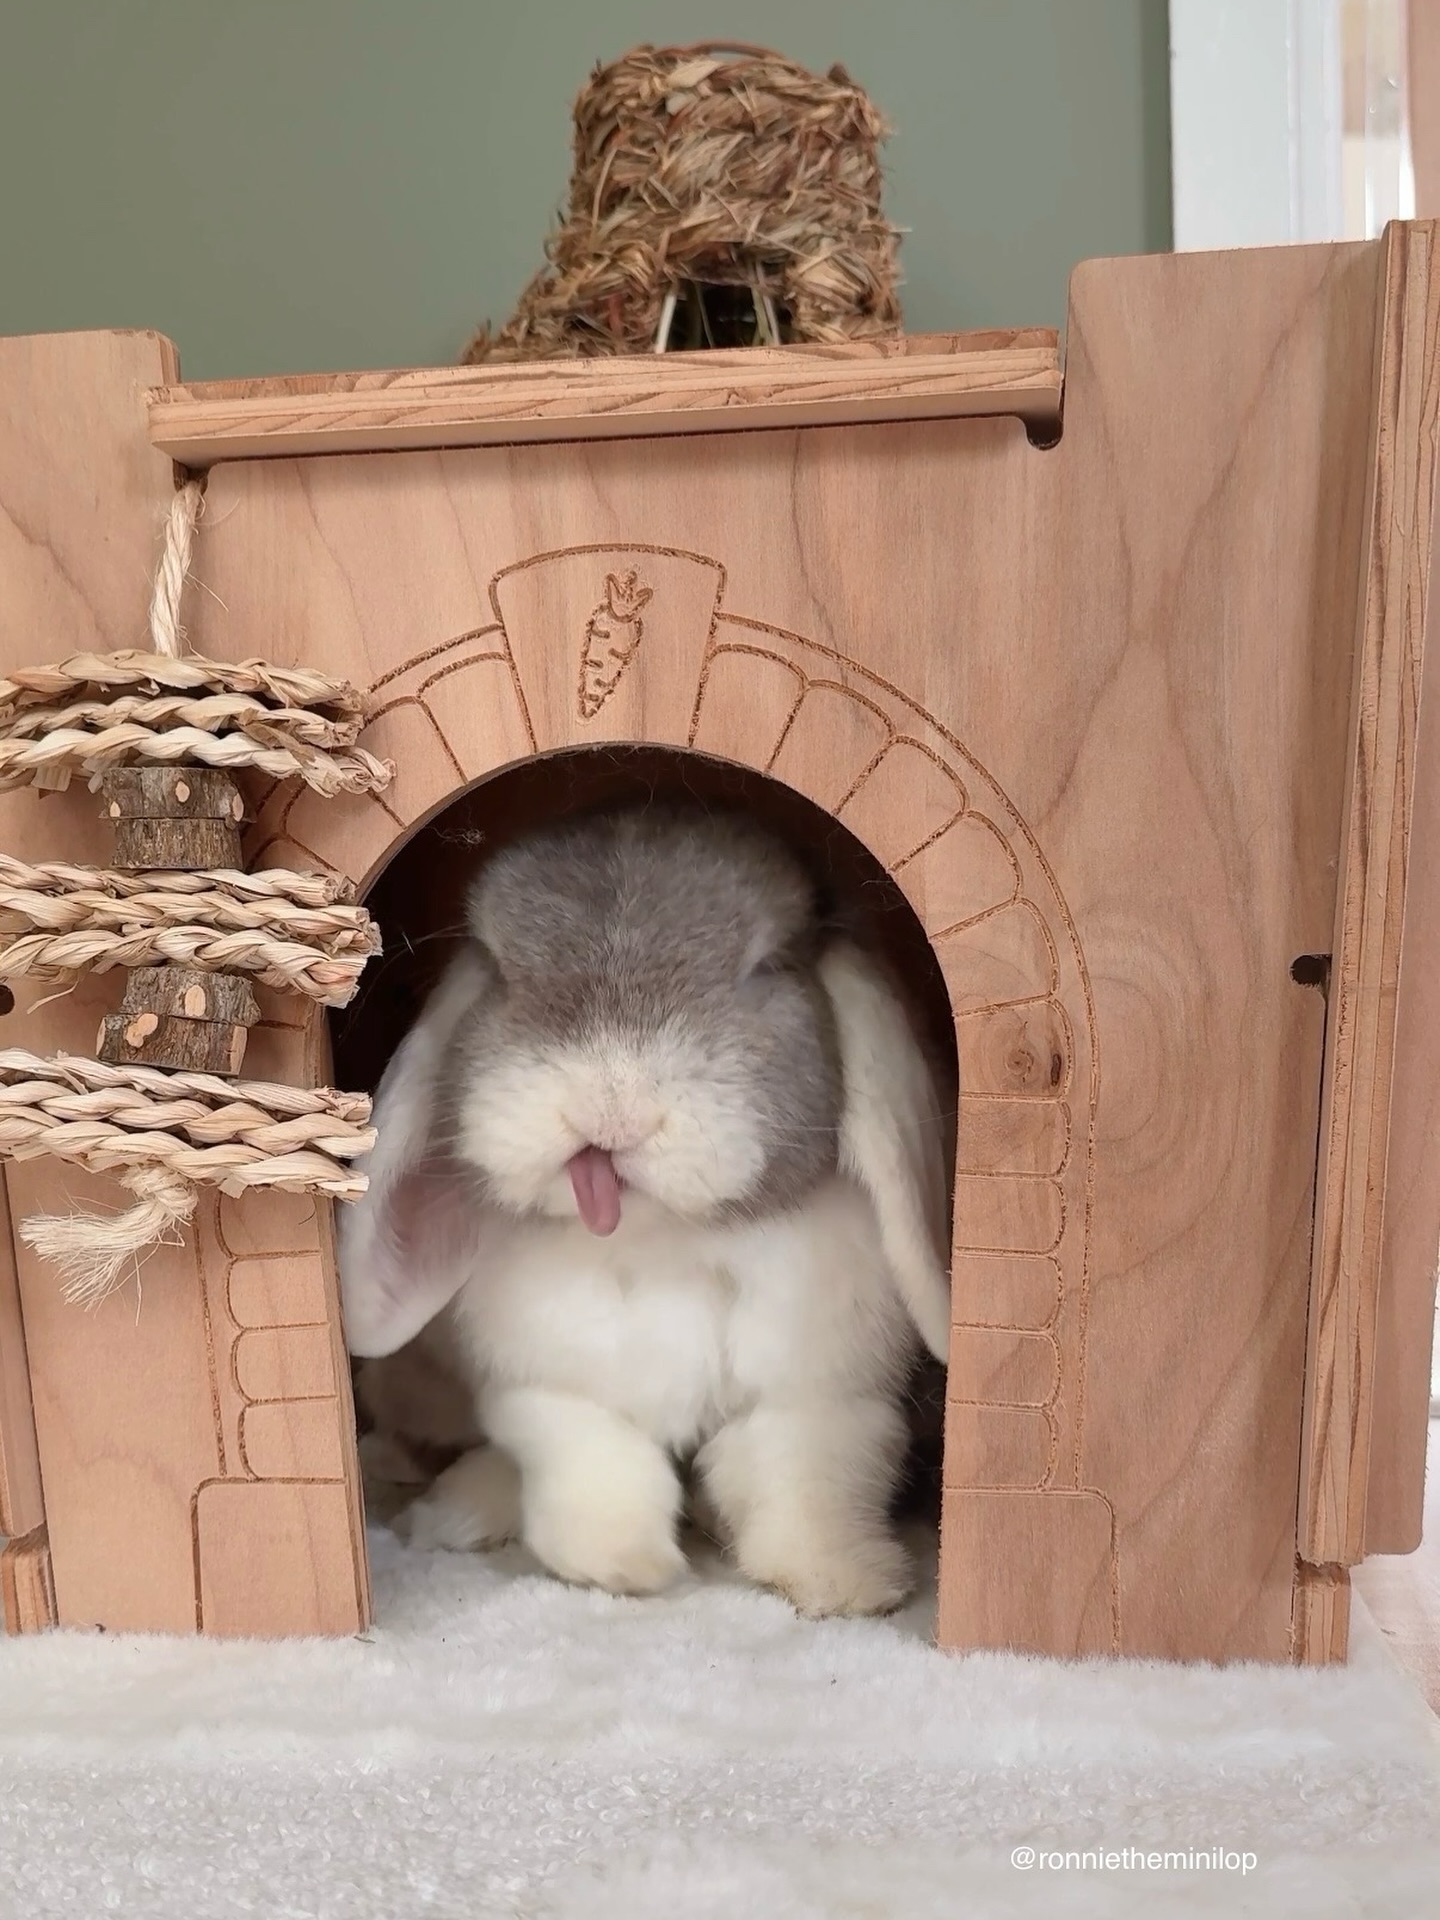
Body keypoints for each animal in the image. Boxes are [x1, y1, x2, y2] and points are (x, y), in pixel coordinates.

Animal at [337, 805, 954, 1617]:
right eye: (502, 971)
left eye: (766, 967)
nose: (609, 1108)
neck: (664, 1241)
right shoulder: (552, 1391)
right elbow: (597, 1463)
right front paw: (622, 1567)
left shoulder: (820, 1397)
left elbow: (802, 1481)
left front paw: (844, 1584)